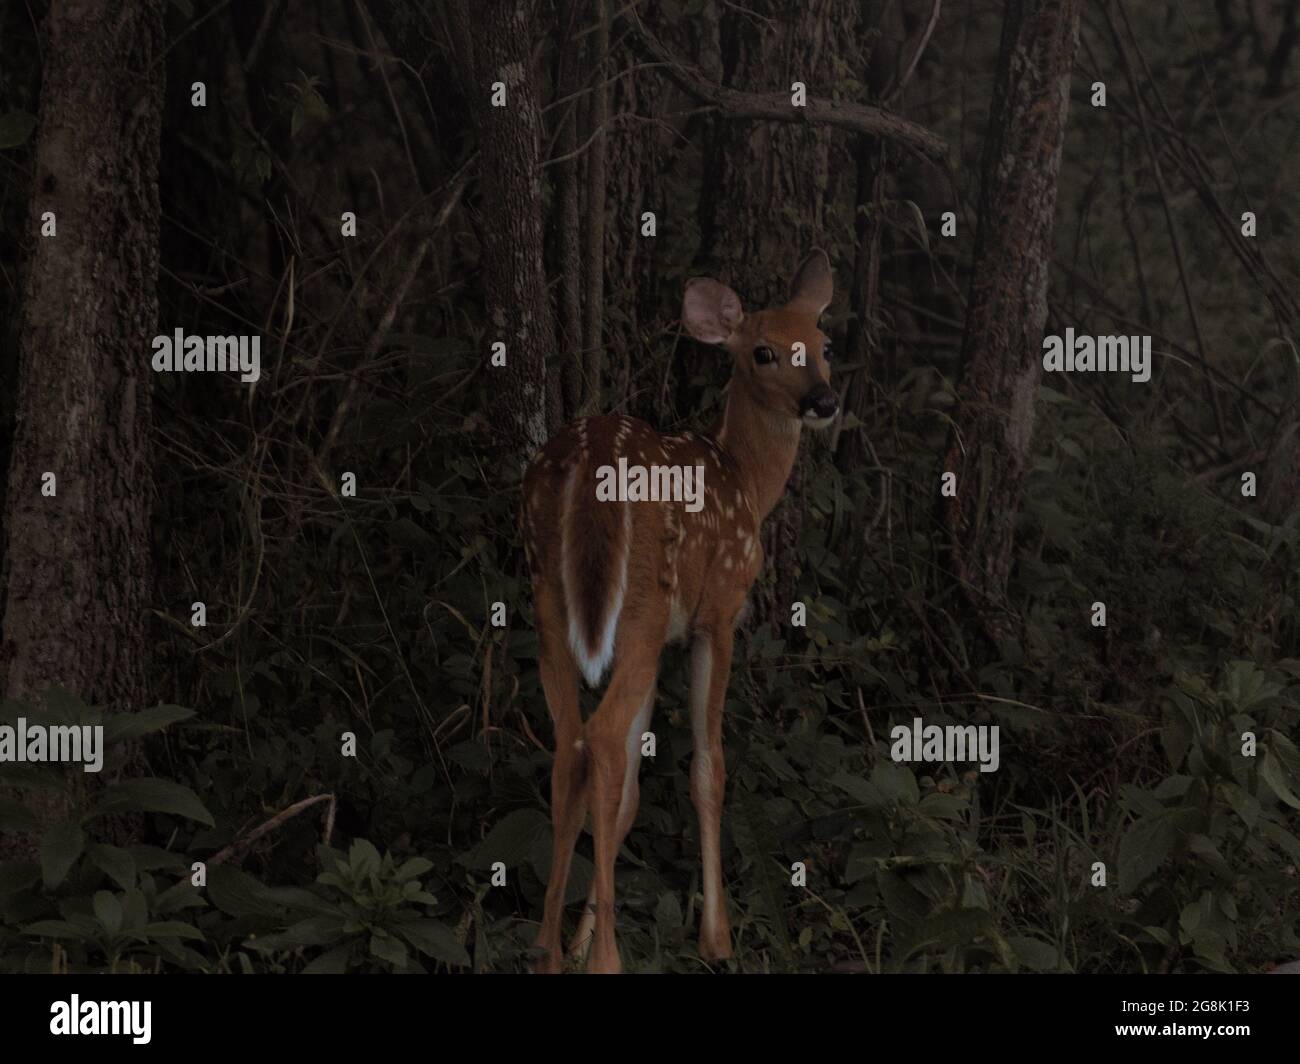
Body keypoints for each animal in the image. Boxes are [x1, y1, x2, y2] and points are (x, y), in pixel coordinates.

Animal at [519, 249, 838, 973]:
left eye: (824, 344)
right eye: (764, 351)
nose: (824, 400)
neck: (747, 483)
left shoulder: (660, 639)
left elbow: (629, 795)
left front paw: (580, 937)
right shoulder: (714, 615)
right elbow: (707, 769)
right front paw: (716, 939)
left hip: (552, 603)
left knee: (571, 746)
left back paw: (548, 950)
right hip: (638, 604)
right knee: (599, 739)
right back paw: (609, 960)